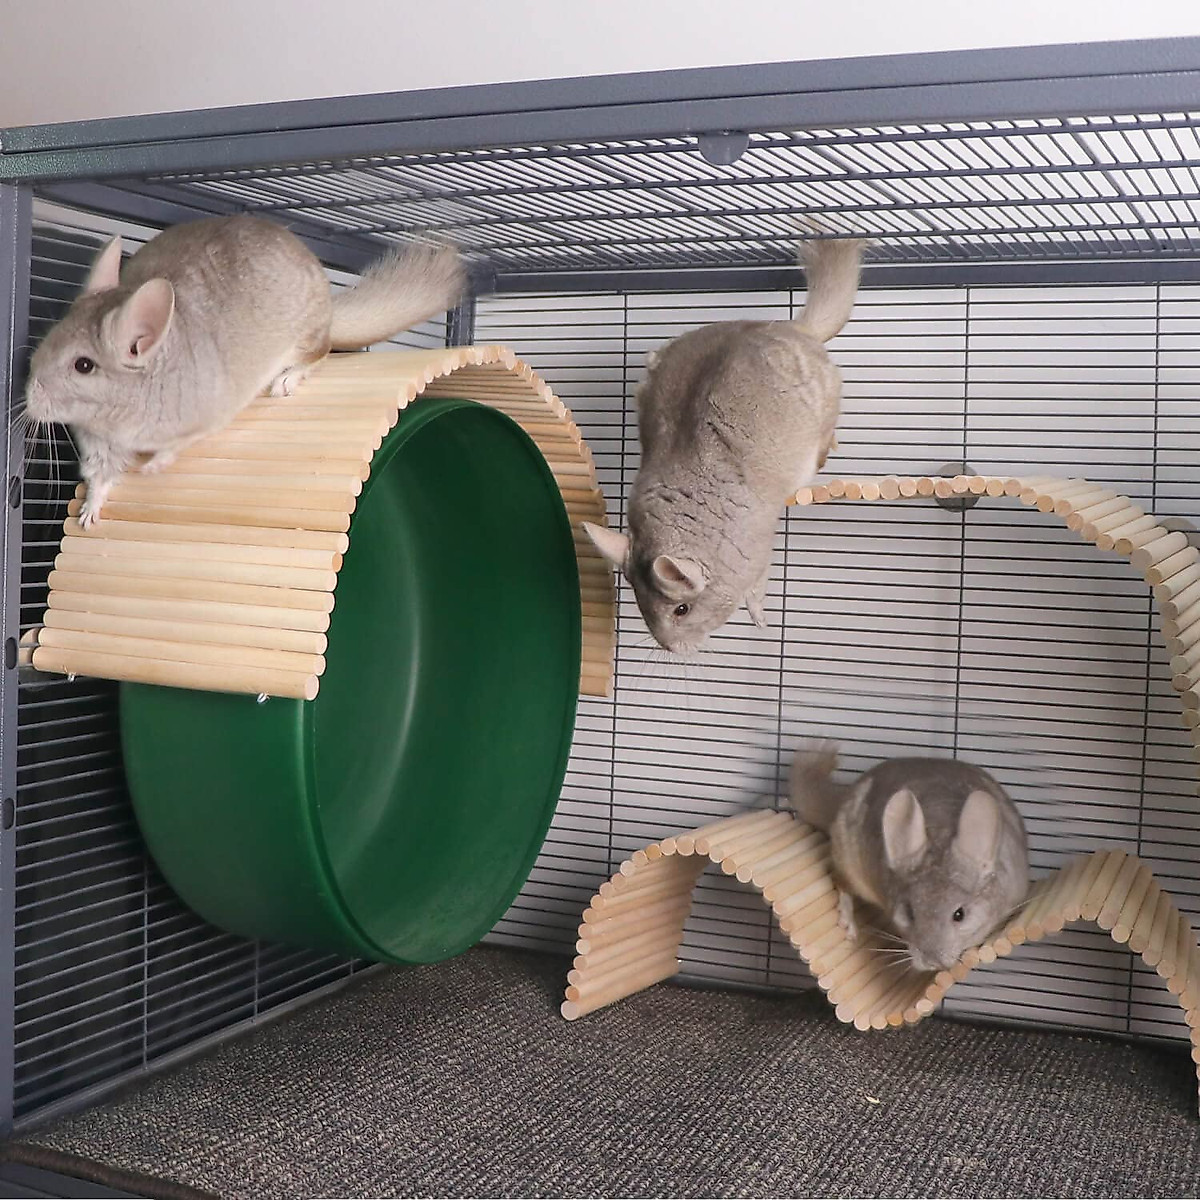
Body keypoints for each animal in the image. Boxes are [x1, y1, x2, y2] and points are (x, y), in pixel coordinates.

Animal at [24, 215, 465, 527]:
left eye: (83, 365)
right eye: (47, 341)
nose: (29, 398)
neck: (120, 416)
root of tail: (329, 301)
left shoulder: (206, 416)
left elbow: (177, 445)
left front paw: (151, 467)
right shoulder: (99, 444)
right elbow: (100, 479)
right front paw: (88, 517)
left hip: (303, 334)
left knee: (319, 352)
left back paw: (286, 380)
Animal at [582, 235, 864, 652]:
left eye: (681, 610)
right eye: (640, 604)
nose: (670, 649)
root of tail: (798, 329)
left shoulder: (758, 555)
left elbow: (757, 589)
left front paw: (761, 622)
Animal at [788, 744, 1030, 973]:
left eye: (959, 914)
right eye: (909, 913)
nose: (932, 962)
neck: (939, 830)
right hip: (848, 861)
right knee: (840, 881)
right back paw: (849, 926)